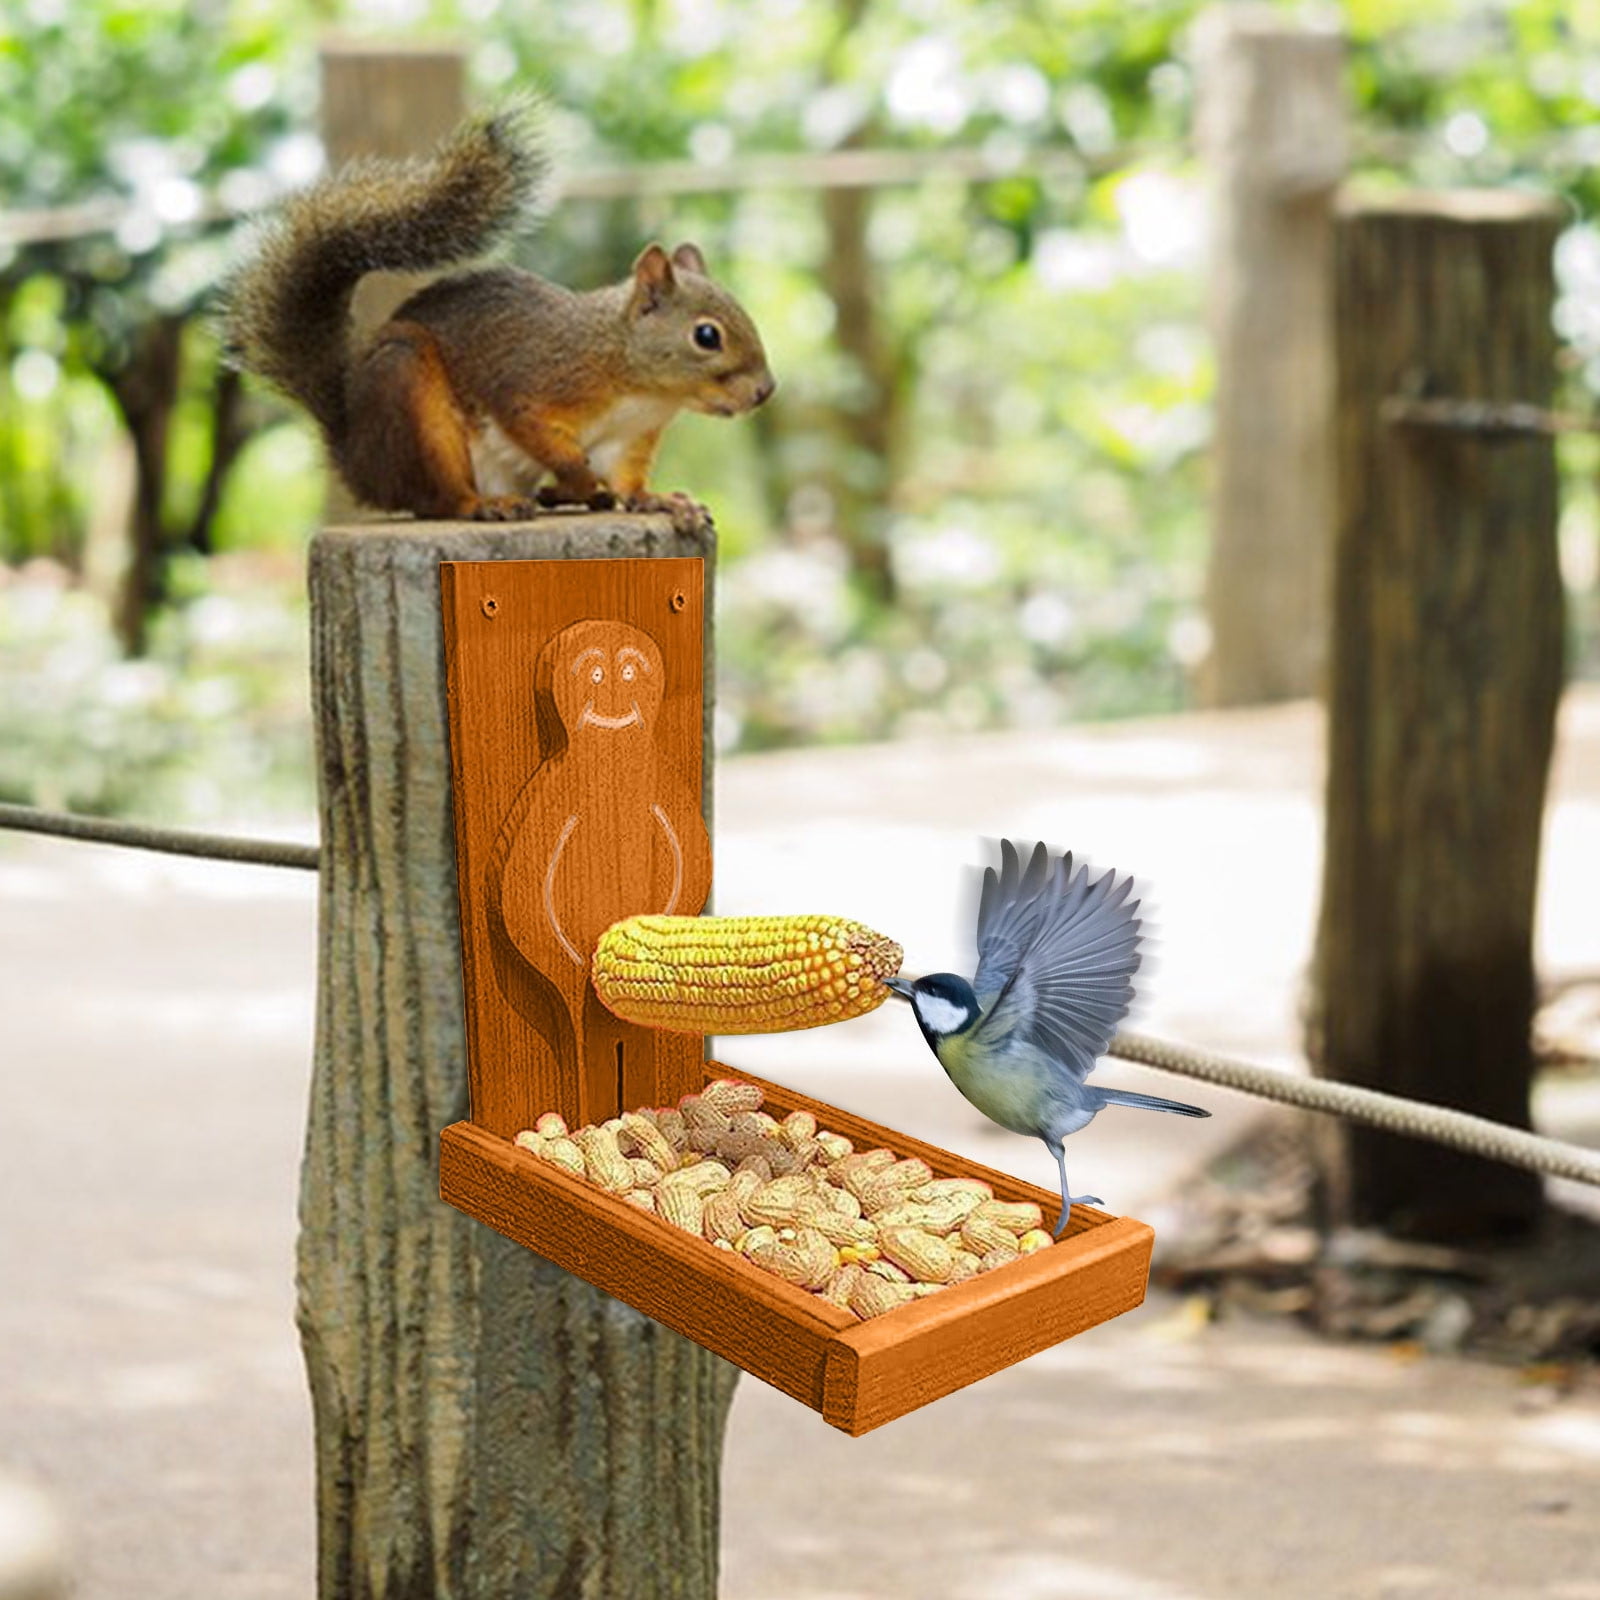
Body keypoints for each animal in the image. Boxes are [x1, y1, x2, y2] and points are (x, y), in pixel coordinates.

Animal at [223, 104, 775, 524]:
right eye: (707, 336)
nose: (766, 391)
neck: (634, 380)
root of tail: (356, 458)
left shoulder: (629, 439)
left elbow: (628, 480)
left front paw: (656, 499)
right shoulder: (531, 385)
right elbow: (541, 434)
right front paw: (578, 475)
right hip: (413, 397)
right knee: (436, 500)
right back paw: (488, 505)